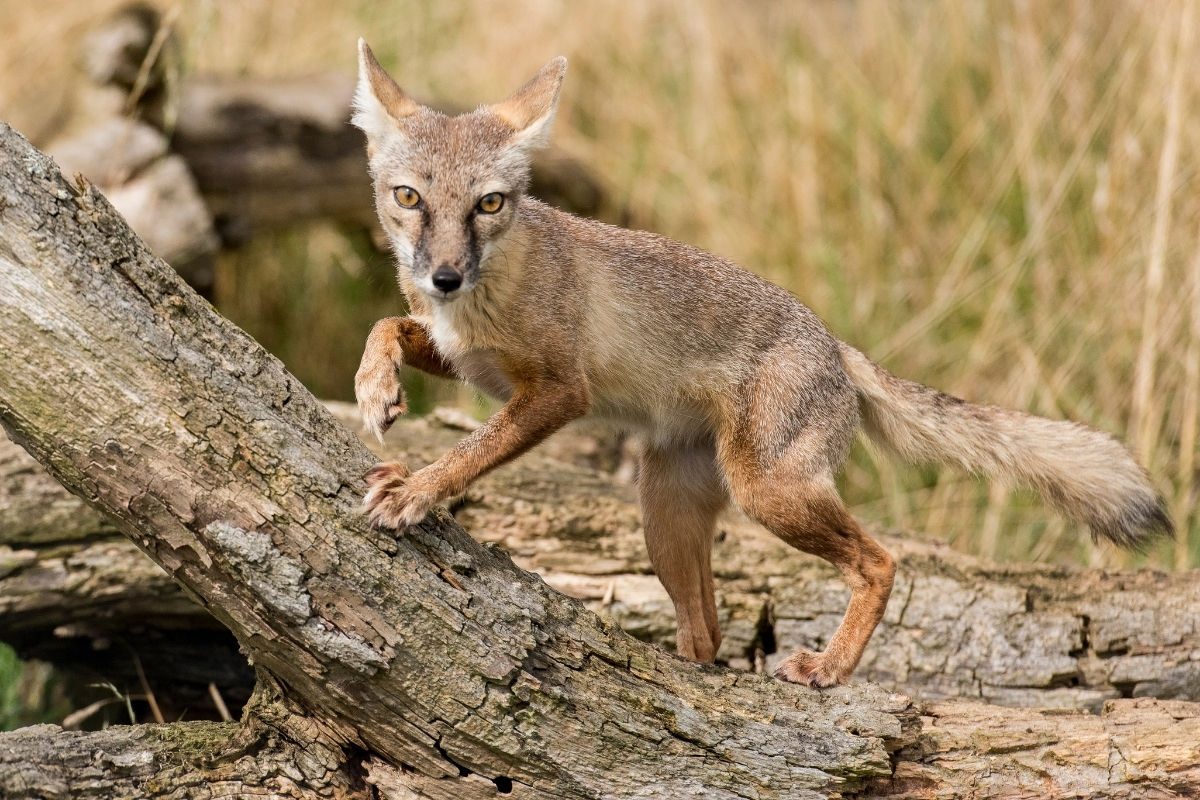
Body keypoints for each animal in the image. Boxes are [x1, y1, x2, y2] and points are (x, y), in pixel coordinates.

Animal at [350, 40, 1171, 687]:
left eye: (489, 204)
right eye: (409, 198)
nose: (445, 276)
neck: (478, 302)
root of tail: (835, 343)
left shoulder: (558, 392)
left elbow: (472, 449)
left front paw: (418, 488)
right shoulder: (466, 360)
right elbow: (386, 323)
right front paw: (375, 388)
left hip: (768, 494)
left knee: (881, 563)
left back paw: (831, 668)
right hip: (668, 520)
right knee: (708, 638)